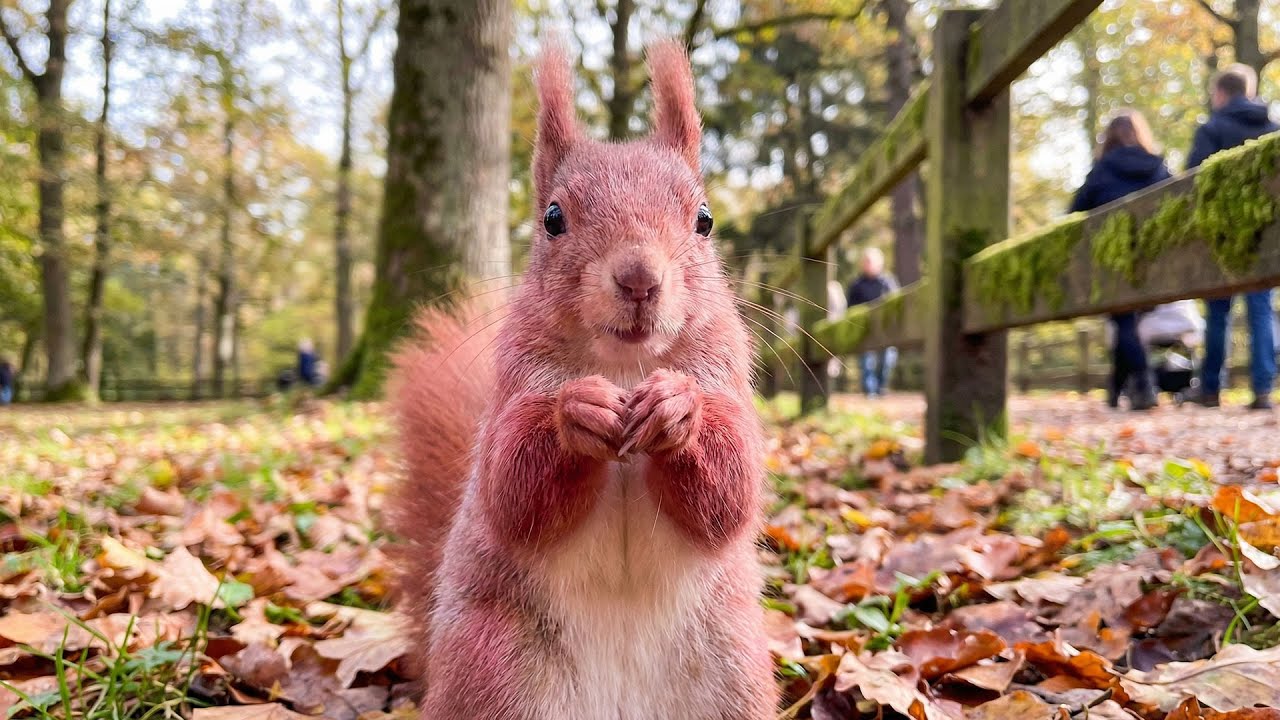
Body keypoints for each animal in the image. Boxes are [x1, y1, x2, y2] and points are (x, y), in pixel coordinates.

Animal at [385, 40, 775, 720]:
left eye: (704, 219)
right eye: (552, 217)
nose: (639, 278)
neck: (623, 364)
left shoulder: (727, 375)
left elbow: (733, 488)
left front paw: (678, 407)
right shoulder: (515, 384)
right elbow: (509, 488)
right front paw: (577, 411)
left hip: (733, 674)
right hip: (496, 667)